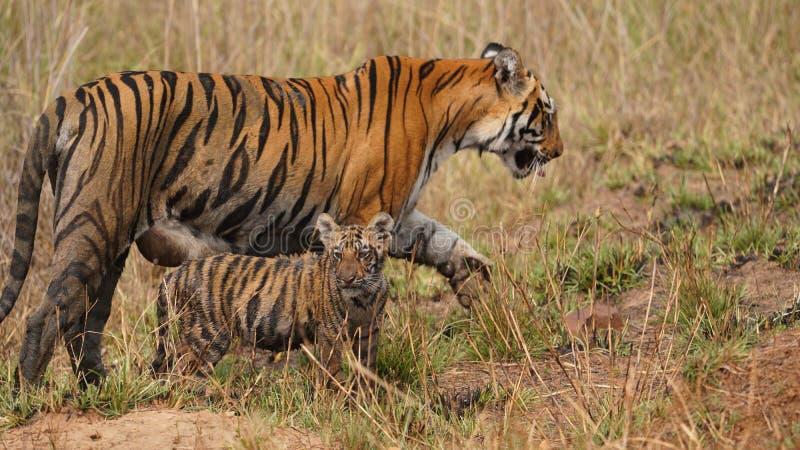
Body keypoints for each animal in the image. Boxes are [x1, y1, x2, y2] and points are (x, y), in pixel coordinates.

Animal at [150, 212, 393, 389]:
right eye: (338, 254)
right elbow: (333, 371)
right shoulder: (331, 334)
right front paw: (339, 403)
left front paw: (366, 399)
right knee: (185, 369)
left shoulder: (369, 331)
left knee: (173, 359)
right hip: (208, 334)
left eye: (363, 254)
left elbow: (367, 368)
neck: (363, 298)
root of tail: (178, 271)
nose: (346, 279)